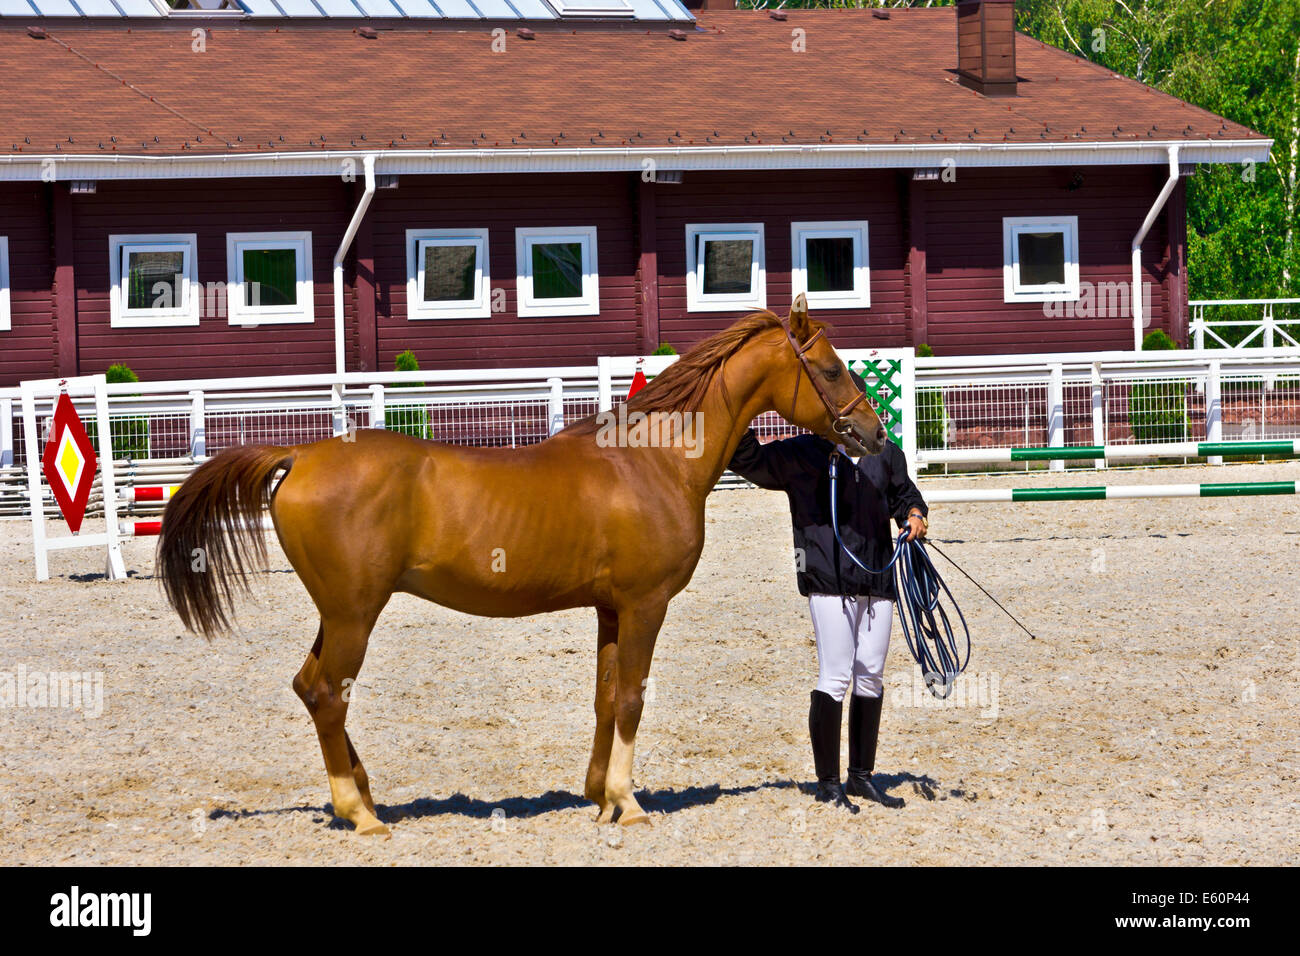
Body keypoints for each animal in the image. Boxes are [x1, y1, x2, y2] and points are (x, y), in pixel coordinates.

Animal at [156, 294, 885, 834]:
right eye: (830, 369)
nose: (874, 435)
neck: (649, 461)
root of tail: (301, 453)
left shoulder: (611, 608)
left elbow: (604, 696)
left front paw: (602, 796)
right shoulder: (645, 604)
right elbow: (631, 697)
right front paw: (630, 804)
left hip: (338, 613)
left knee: (313, 689)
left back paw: (364, 796)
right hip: (354, 614)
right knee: (326, 693)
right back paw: (361, 815)